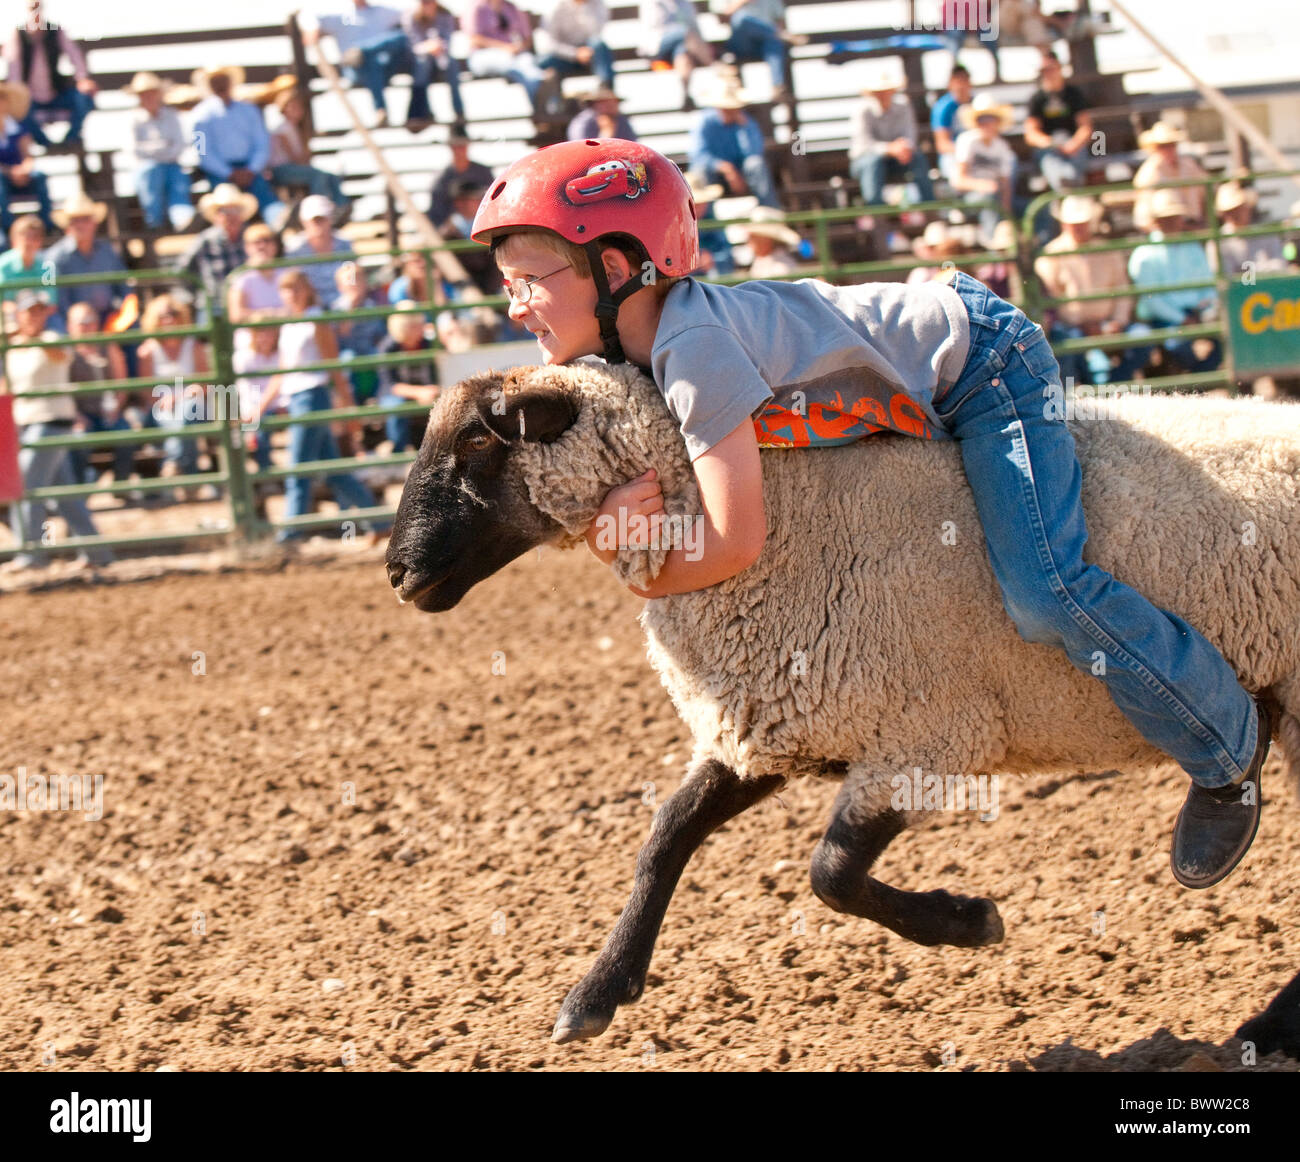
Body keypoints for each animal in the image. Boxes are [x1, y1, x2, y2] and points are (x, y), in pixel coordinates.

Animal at [385, 360, 1300, 1047]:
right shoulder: (770, 726)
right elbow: (665, 837)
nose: (397, 572)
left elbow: (829, 871)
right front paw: (596, 992)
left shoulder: (931, 740)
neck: (777, 517)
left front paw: (970, 920)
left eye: (476, 438)